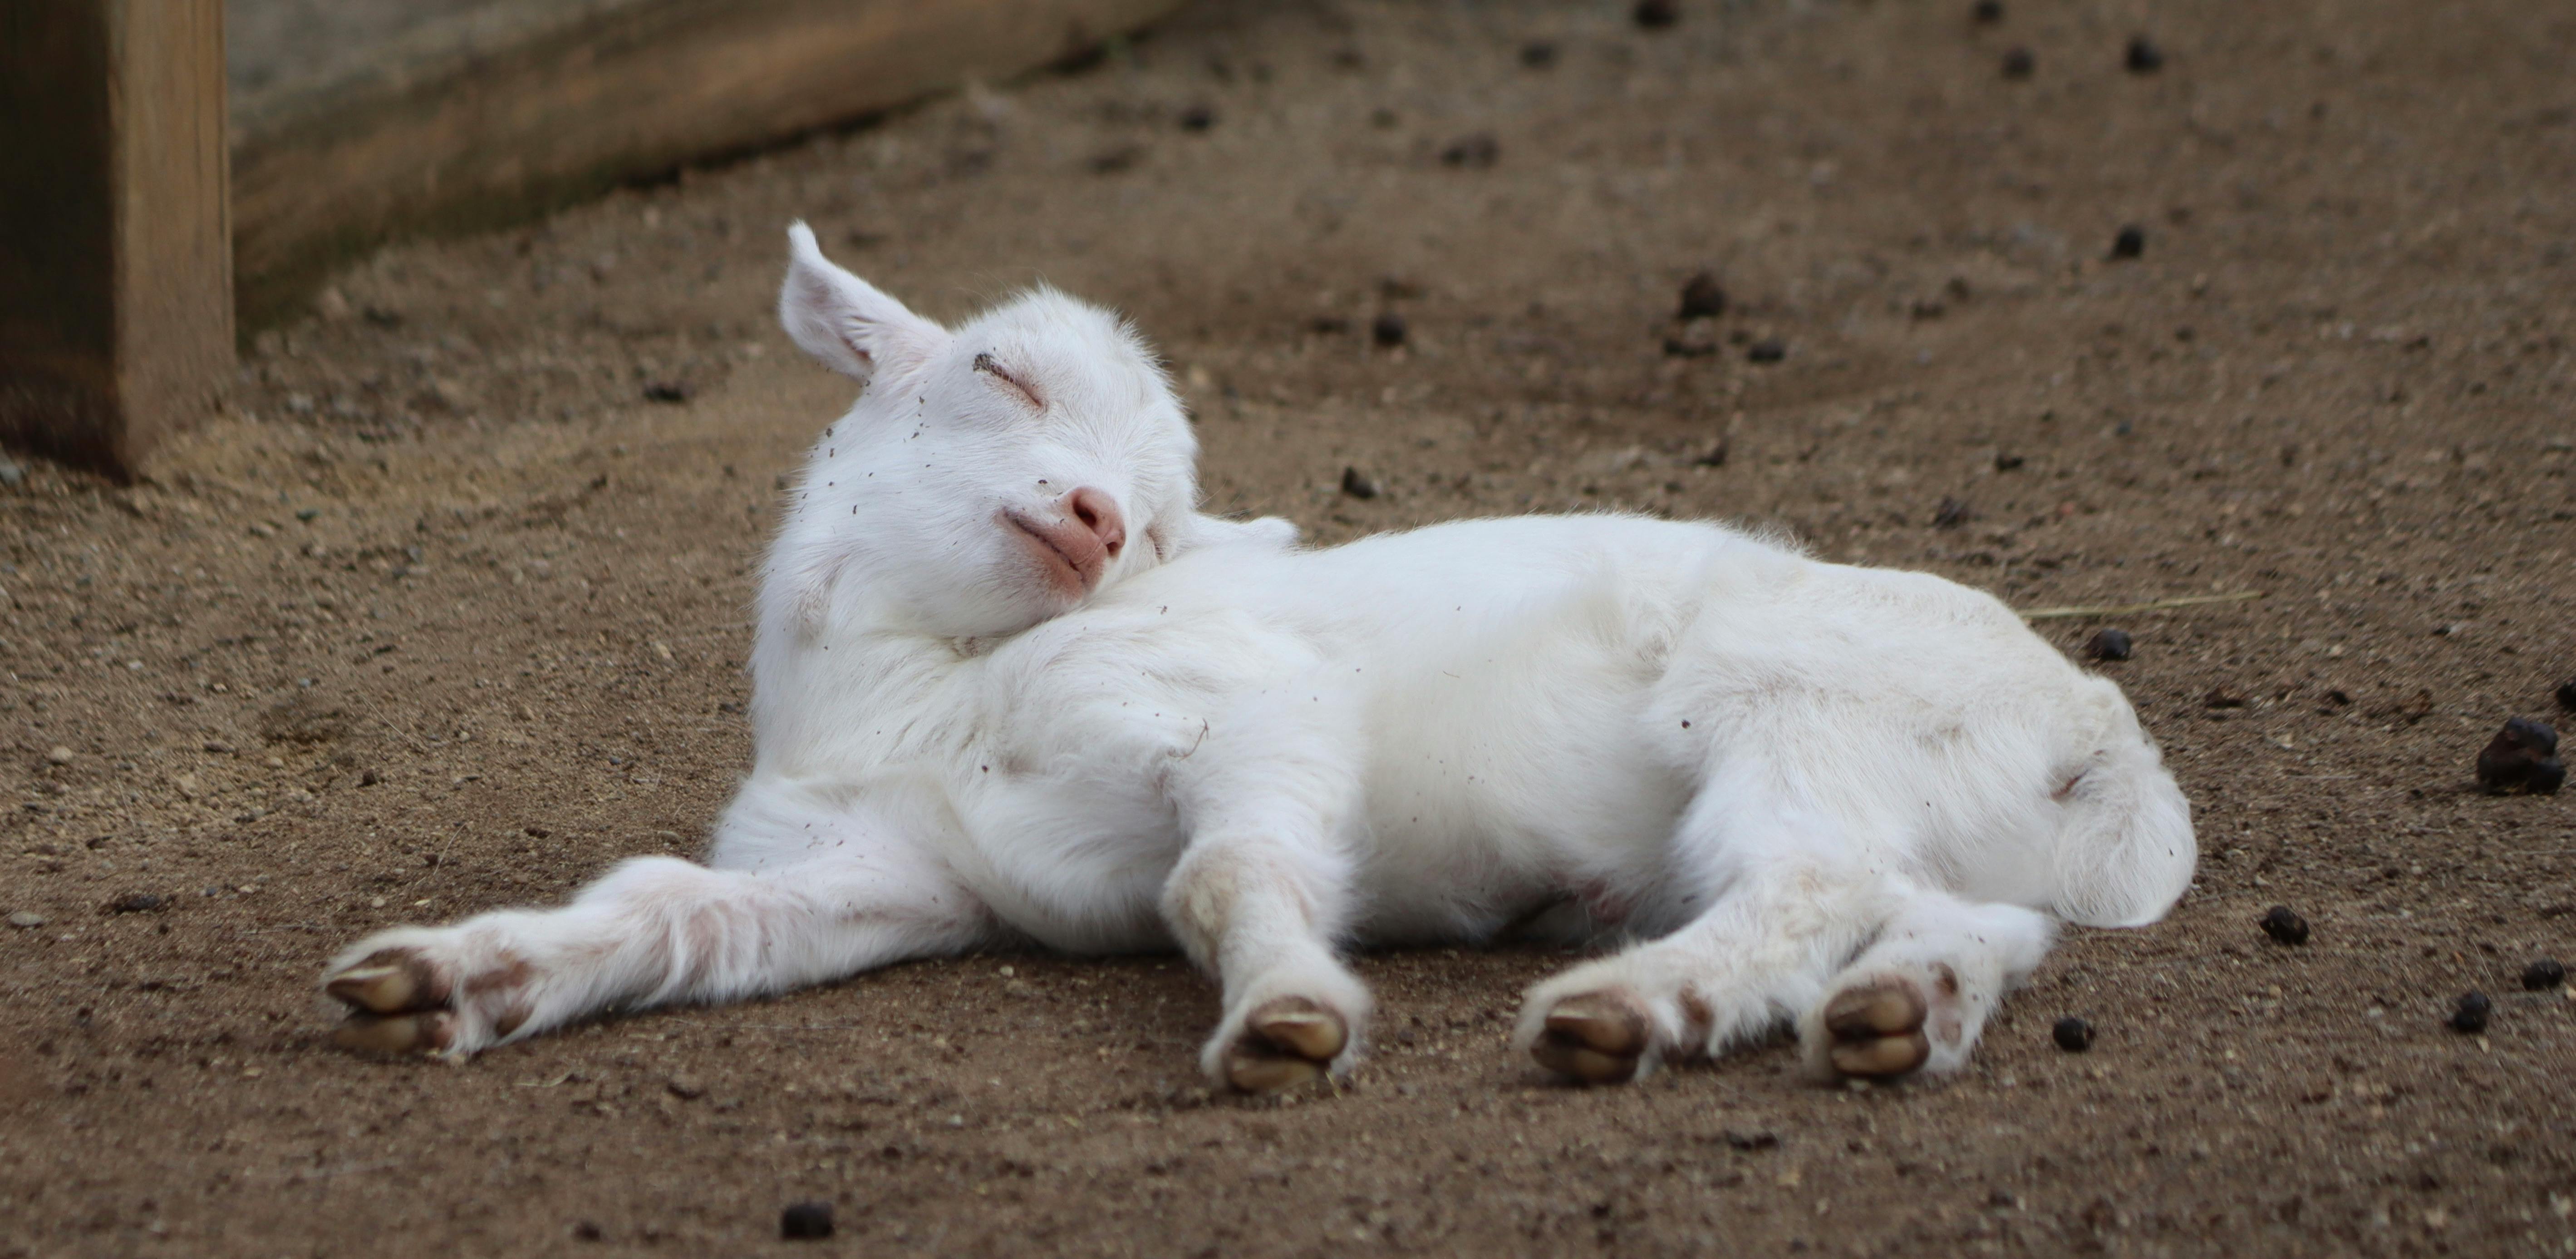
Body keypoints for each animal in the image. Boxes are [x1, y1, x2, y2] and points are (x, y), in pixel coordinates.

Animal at [320, 223, 2194, 1090]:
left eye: (1154, 525)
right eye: (997, 370)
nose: (1089, 516)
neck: (926, 694)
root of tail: (2106, 741)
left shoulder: (1240, 713)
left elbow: (1221, 875)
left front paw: (1291, 1016)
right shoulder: (887, 872)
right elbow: (676, 911)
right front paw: (443, 980)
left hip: (1804, 711)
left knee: (1810, 876)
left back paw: (1628, 1007)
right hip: (1936, 813)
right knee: (1966, 919)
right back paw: (1895, 1012)